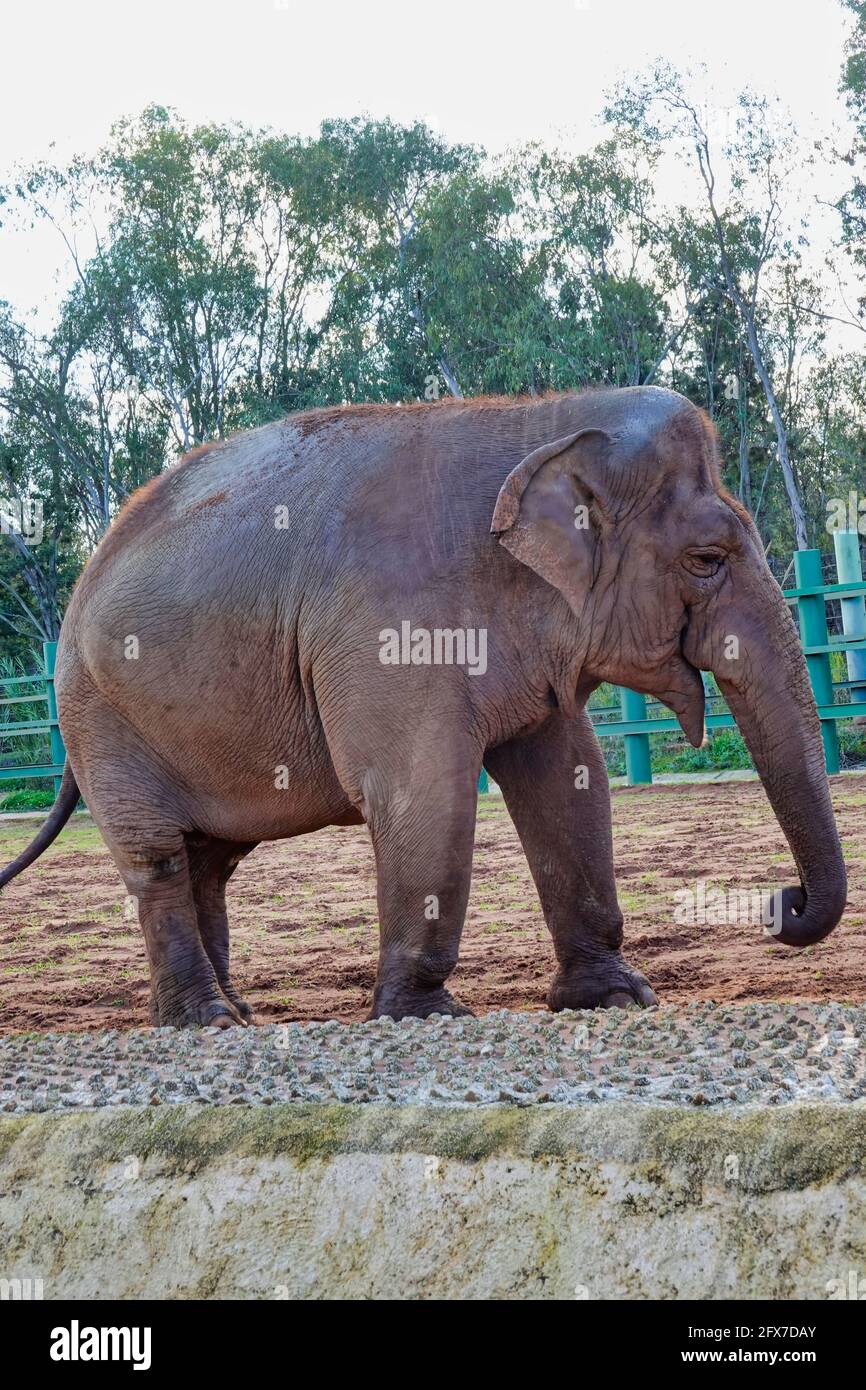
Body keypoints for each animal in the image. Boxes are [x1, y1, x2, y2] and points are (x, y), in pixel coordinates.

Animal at [0, 386, 847, 1026]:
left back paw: (235, 1013)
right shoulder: (387, 630)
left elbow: (569, 777)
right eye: (707, 560)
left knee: (213, 861)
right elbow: (423, 791)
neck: (542, 422)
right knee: (160, 858)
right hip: (102, 719)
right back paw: (207, 1024)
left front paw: (617, 999)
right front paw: (426, 1015)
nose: (782, 902)